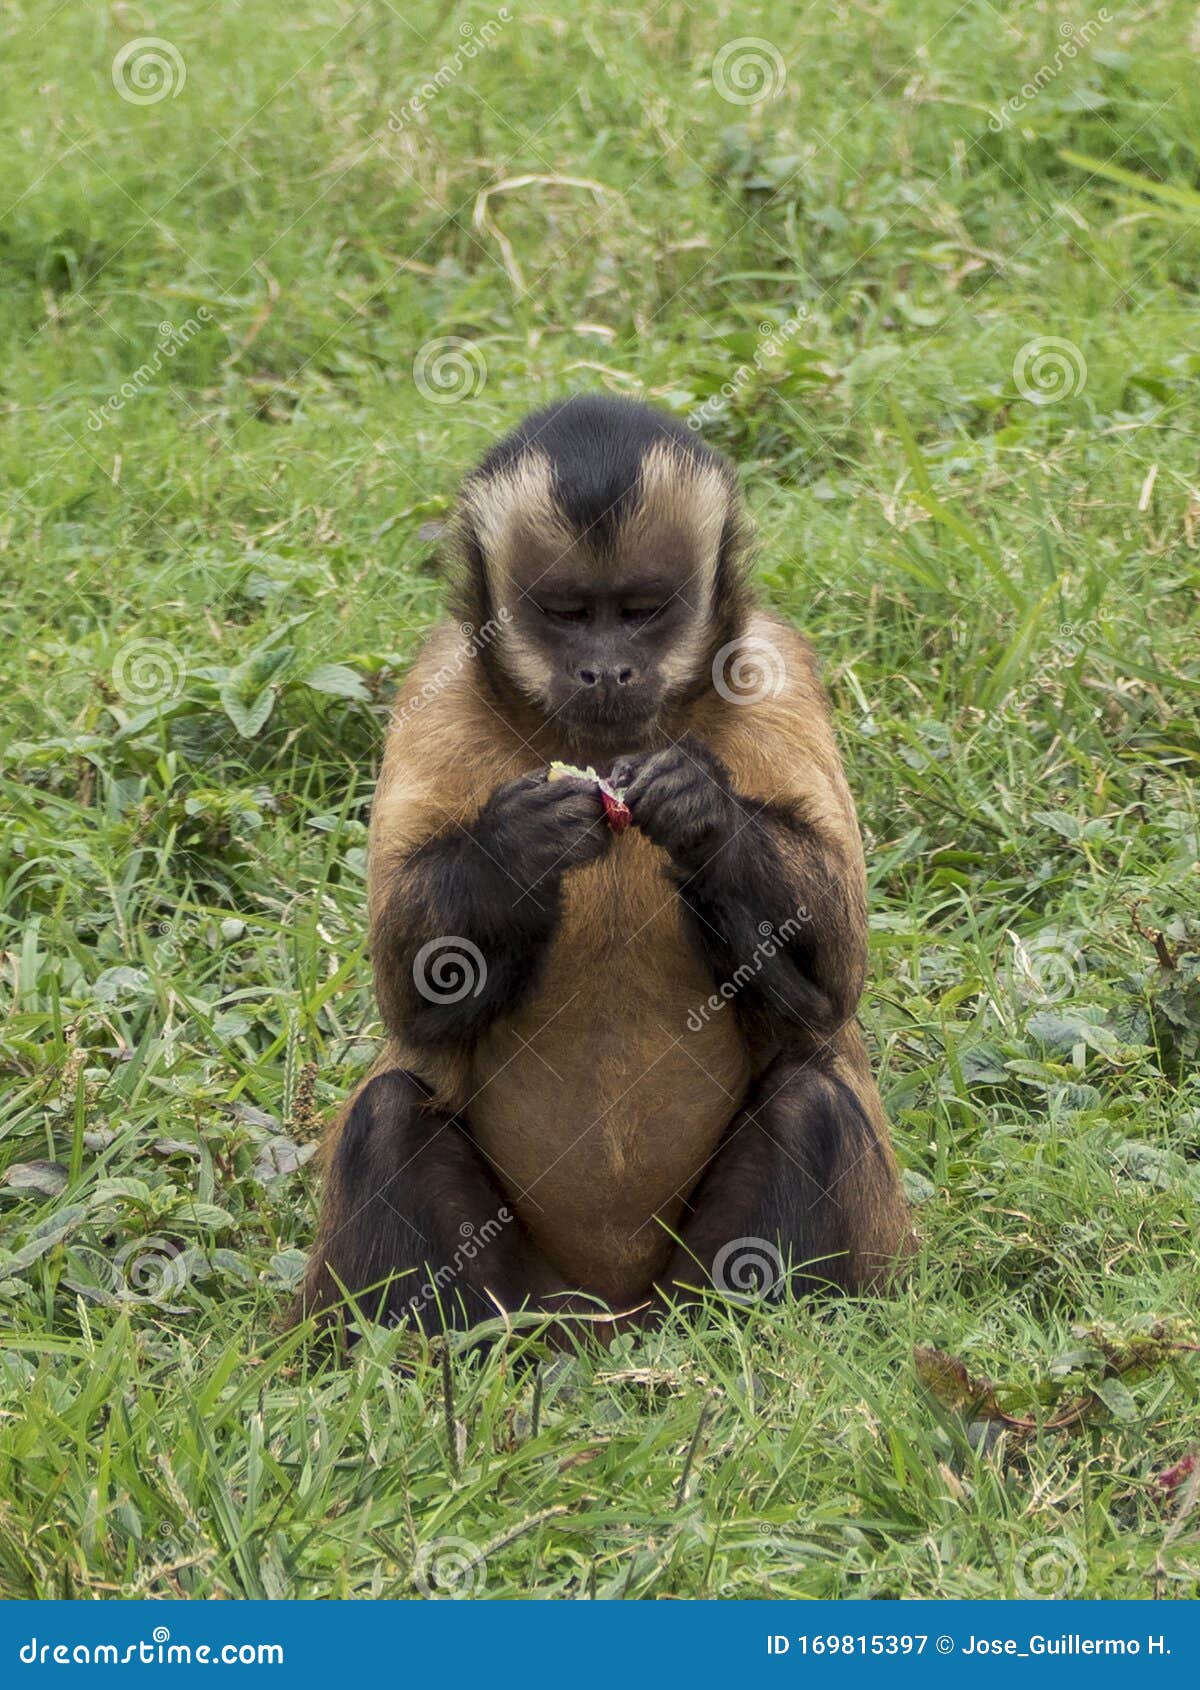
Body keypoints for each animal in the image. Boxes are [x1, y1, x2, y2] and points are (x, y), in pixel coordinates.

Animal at [297, 394, 912, 1338]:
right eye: (566, 613)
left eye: (642, 609)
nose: (606, 668)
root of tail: (607, 1317)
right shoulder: (439, 681)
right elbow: (411, 997)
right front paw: (511, 850)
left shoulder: (771, 667)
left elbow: (832, 981)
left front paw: (703, 813)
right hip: (523, 1301)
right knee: (391, 1111)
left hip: (689, 1289)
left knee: (812, 1099)